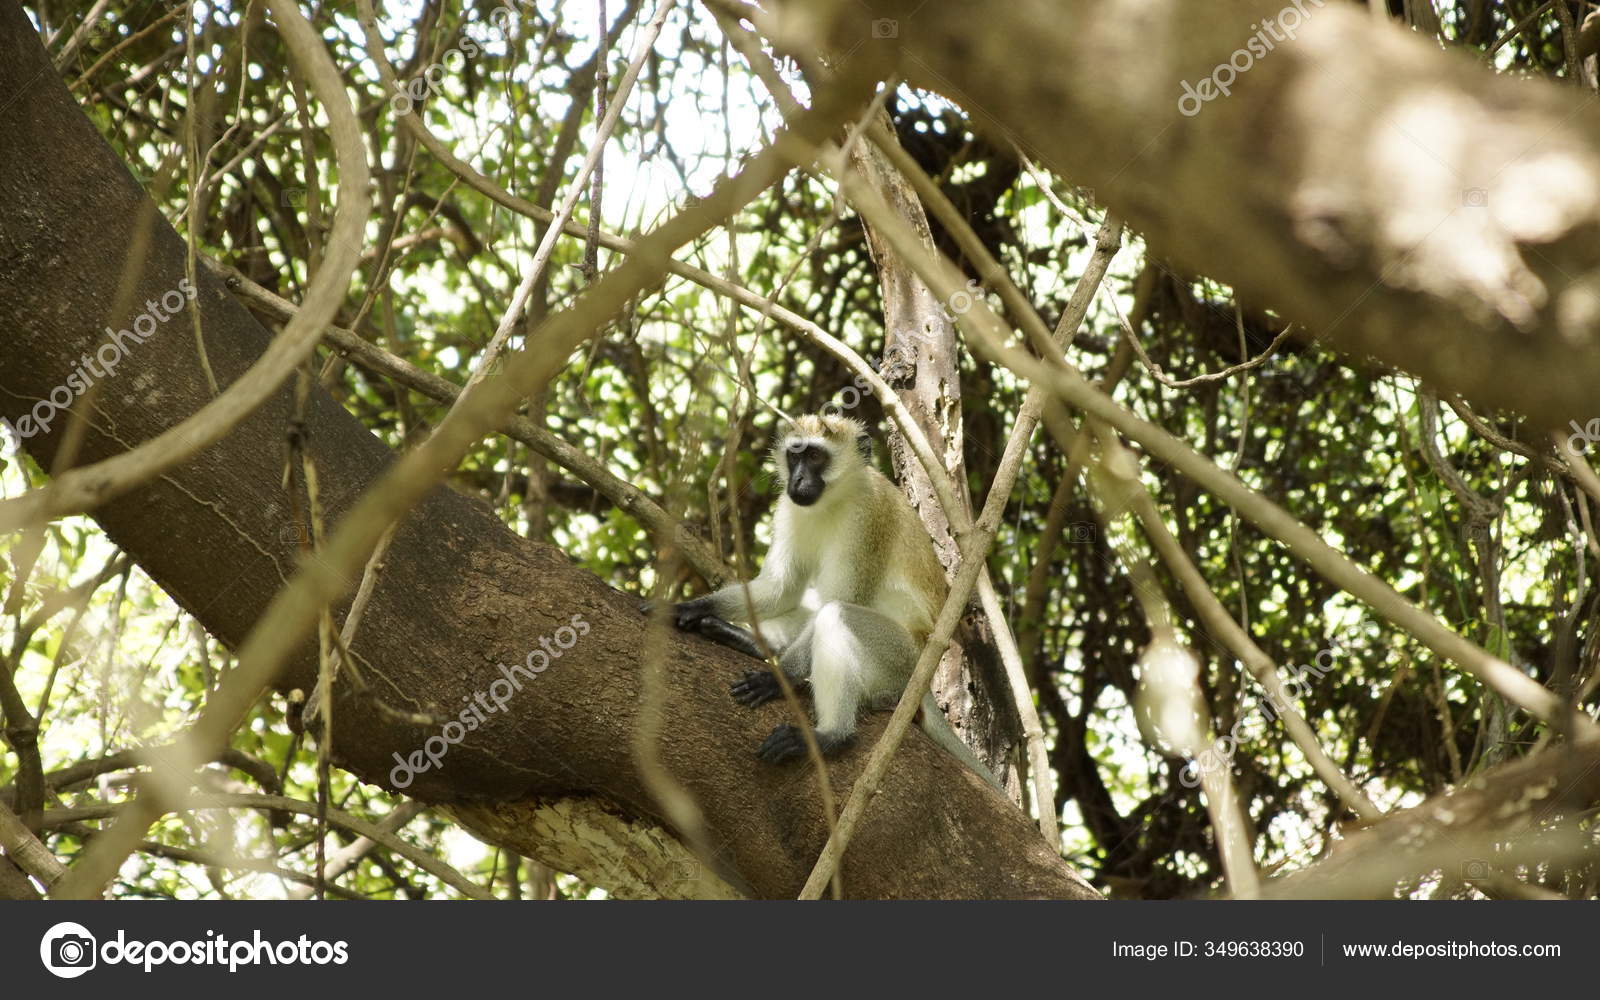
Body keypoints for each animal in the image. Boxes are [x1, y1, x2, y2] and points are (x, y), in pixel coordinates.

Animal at [664, 411, 1001, 789]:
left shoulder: (869, 517)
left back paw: (830, 736)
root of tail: (924, 681)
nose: (797, 478)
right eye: (794, 455)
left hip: (901, 660)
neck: (834, 499)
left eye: (815, 456)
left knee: (835, 613)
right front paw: (693, 607)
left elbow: (840, 599)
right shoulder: (789, 508)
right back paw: (747, 640)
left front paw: (782, 678)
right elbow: (780, 587)